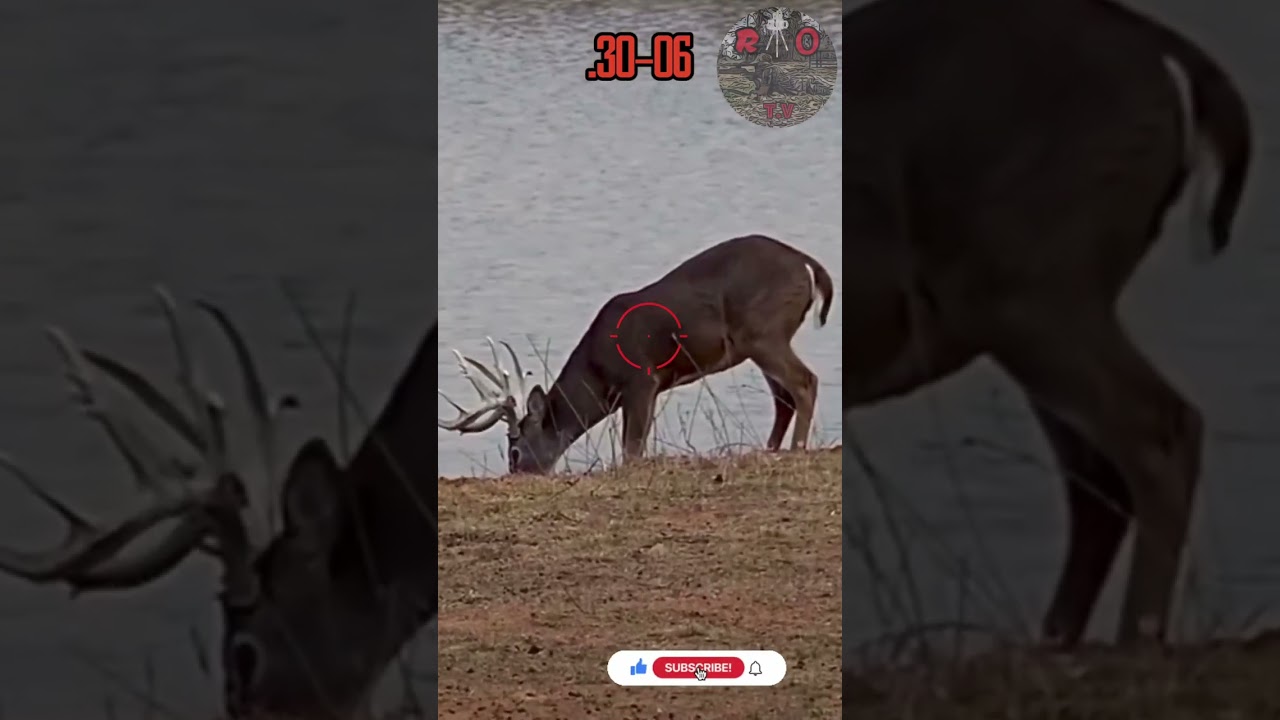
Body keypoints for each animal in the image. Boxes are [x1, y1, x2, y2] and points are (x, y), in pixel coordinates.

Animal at [438, 234, 836, 475]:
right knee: (783, 396)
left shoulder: (642, 379)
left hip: (764, 332)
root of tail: (809, 265)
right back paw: (770, 449)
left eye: (515, 451)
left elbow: (632, 451)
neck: (597, 372)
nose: (516, 474)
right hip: (759, 341)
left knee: (804, 381)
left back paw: (797, 448)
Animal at [840, 0, 1252, 650]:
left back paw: (1136, 640)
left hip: (1031, 284)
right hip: (1038, 300)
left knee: (1157, 429)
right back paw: (1056, 641)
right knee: (1097, 477)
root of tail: (1167, 50)